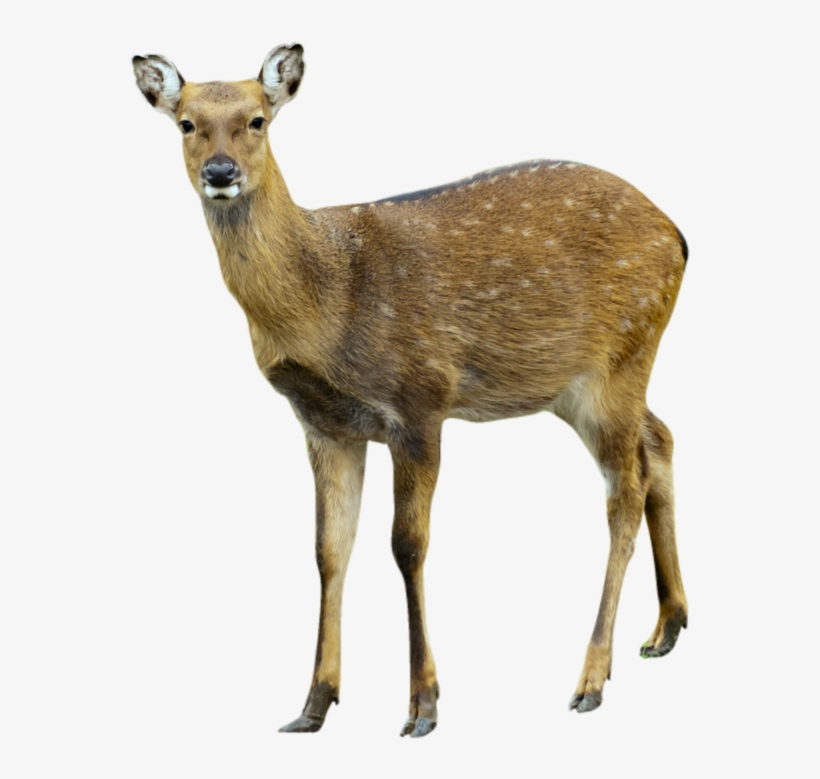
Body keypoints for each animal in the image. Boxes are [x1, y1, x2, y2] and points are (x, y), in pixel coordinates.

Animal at [133, 43, 689, 738]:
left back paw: (591, 678)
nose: (220, 170)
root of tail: (680, 237)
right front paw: (313, 705)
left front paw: (423, 706)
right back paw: (666, 628)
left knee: (623, 492)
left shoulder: (420, 399)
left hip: (619, 359)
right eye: (186, 123)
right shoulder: (324, 424)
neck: (325, 300)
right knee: (660, 440)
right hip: (583, 382)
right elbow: (328, 550)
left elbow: (407, 545)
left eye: (257, 119)